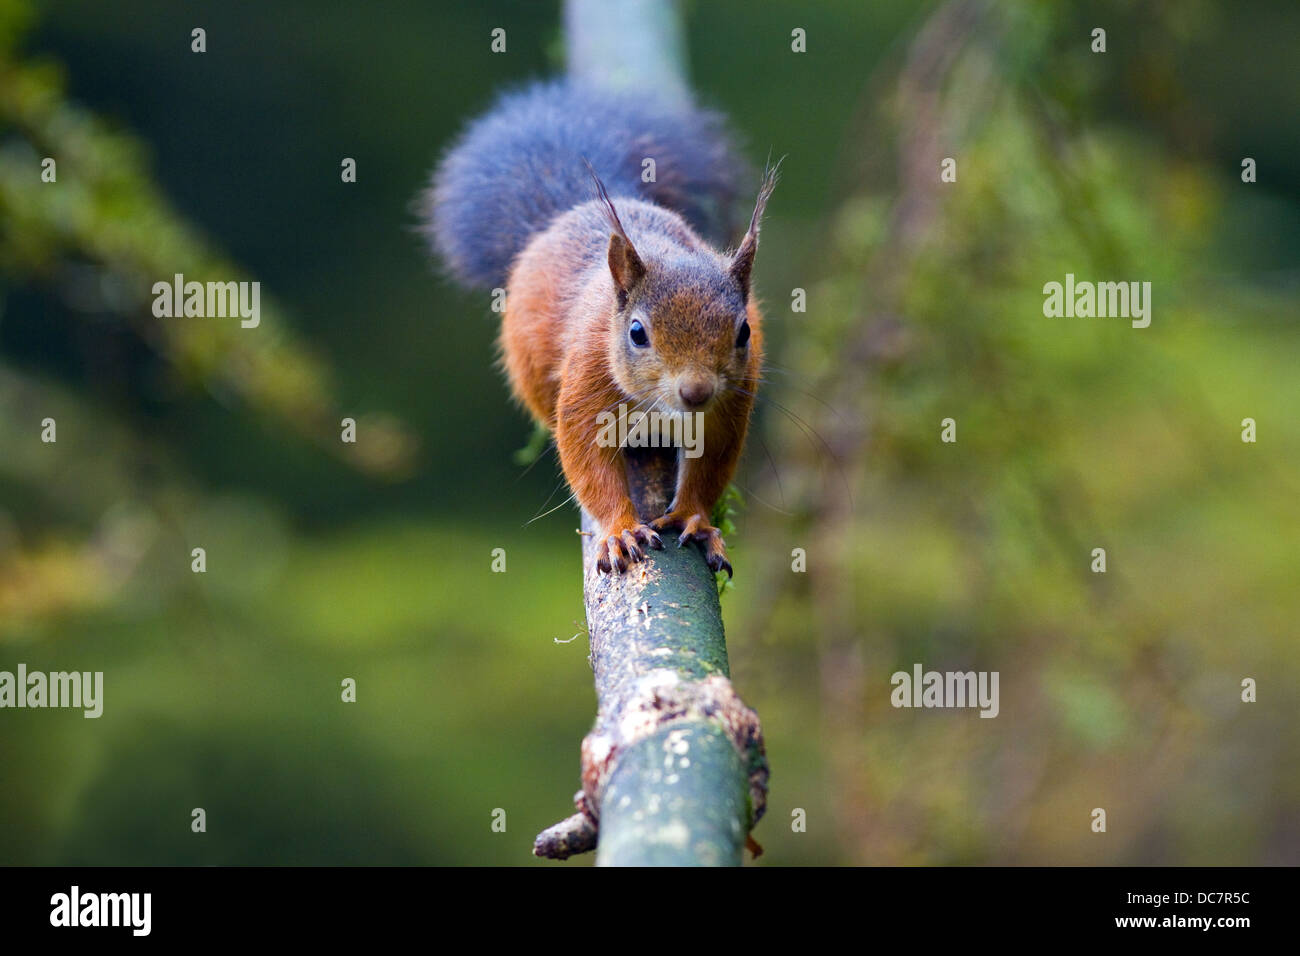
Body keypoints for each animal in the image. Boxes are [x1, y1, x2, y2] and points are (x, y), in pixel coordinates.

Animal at [423, 80, 776, 576]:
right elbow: (587, 461)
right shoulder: (587, 376)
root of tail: (568, 212)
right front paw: (619, 530)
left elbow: (711, 466)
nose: (696, 392)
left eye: (744, 332)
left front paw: (695, 518)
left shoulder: (729, 405)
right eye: (636, 333)